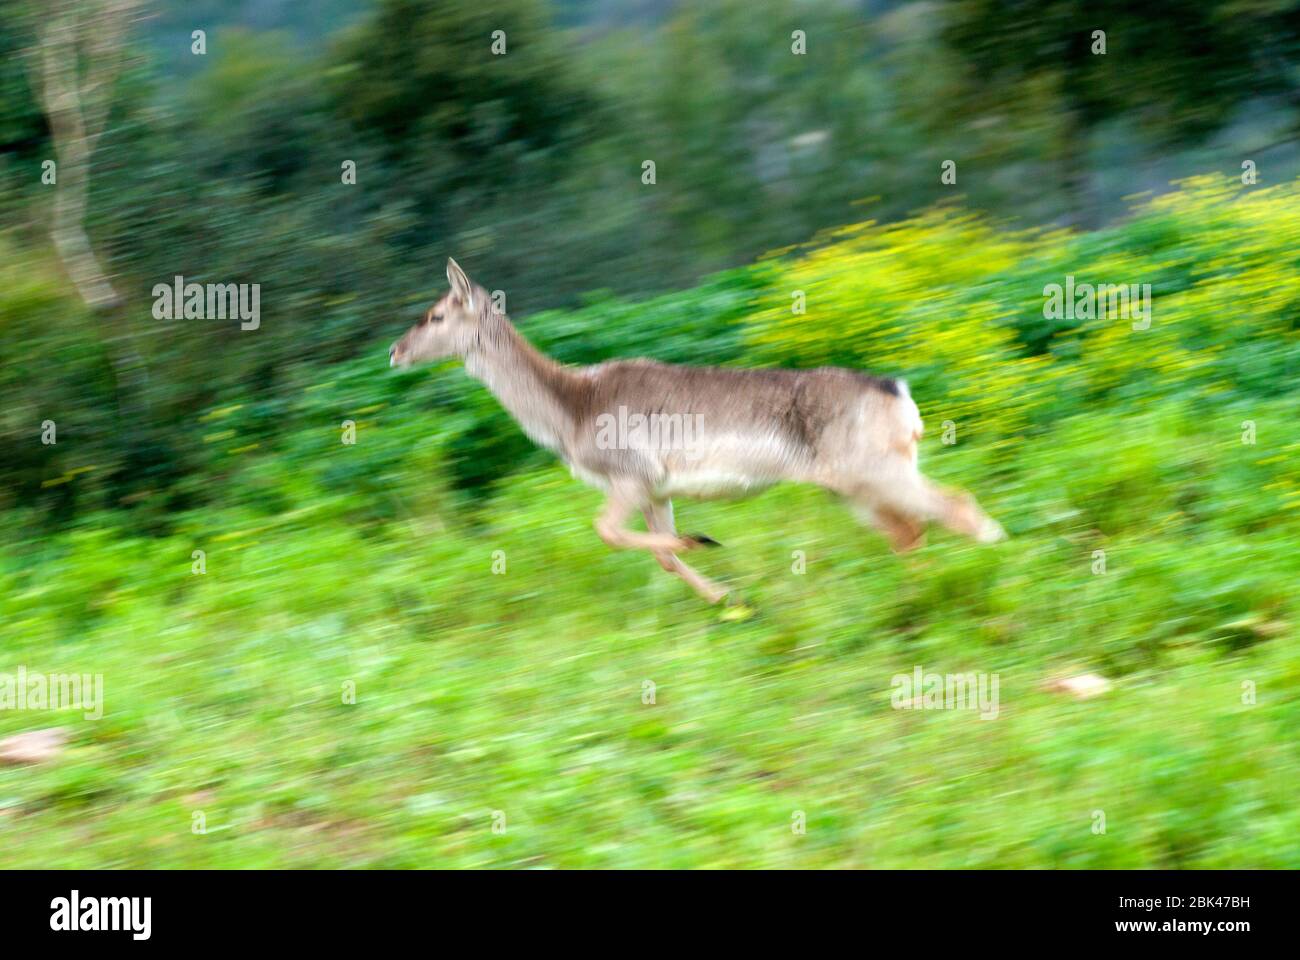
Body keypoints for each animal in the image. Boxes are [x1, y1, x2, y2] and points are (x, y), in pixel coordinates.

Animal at [387, 257, 1003, 600]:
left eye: (436, 314)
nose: (394, 351)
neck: (569, 414)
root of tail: (901, 394)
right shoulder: (657, 488)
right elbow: (657, 552)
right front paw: (727, 598)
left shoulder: (629, 474)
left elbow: (606, 531)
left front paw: (706, 543)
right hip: (855, 485)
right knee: (912, 531)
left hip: (873, 470)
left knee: (960, 507)